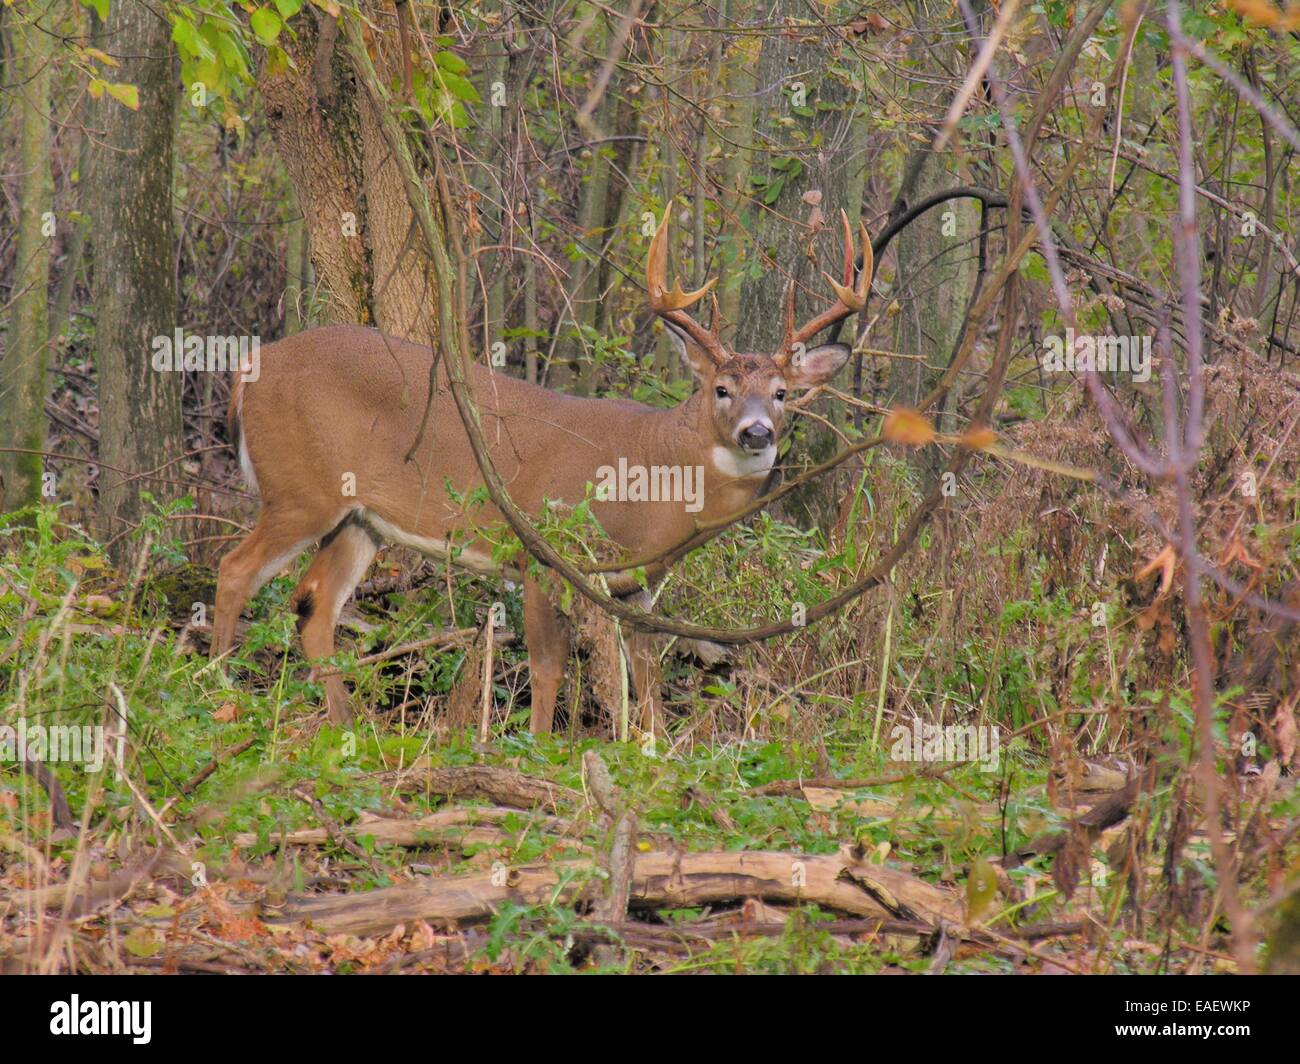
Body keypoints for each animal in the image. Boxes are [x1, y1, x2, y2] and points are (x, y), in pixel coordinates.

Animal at [210, 210, 873, 734]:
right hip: (299, 489)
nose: (756, 433)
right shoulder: (541, 546)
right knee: (235, 569)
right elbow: (549, 663)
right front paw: (538, 747)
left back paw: (347, 723)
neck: (654, 477)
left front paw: (655, 749)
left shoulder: (637, 583)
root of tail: (247, 368)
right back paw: (216, 691)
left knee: (315, 605)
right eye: (722, 389)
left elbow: (645, 669)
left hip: (359, 520)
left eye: (784, 393)